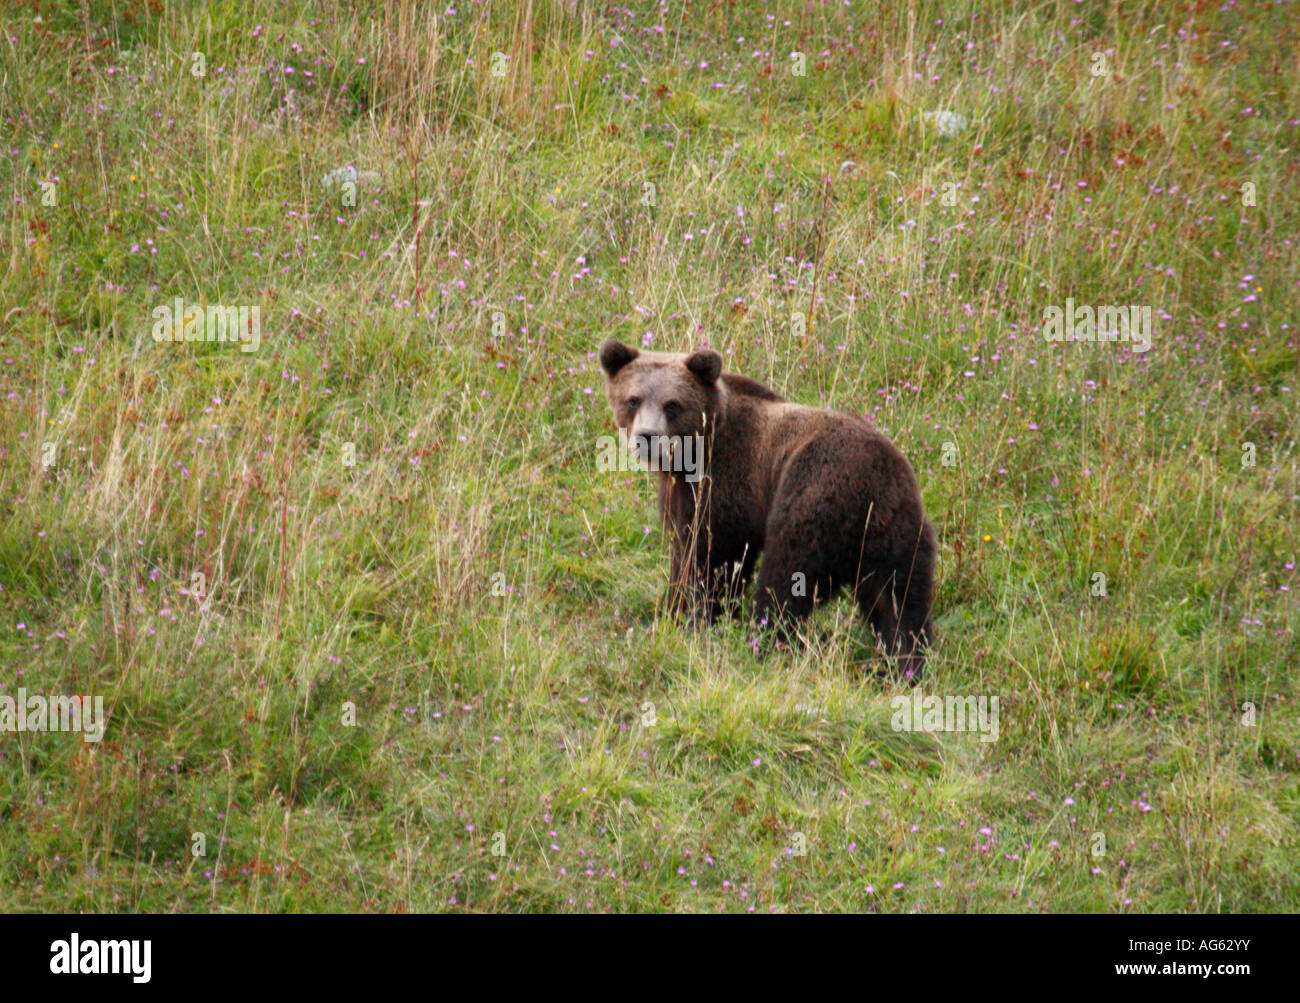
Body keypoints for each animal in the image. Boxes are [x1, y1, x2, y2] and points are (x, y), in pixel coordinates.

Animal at [599, 338, 936, 676]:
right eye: (633, 400)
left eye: (672, 404)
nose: (647, 437)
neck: (690, 456)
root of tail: (873, 486)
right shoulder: (681, 495)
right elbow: (683, 551)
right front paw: (671, 613)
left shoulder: (727, 483)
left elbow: (713, 557)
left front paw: (699, 619)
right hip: (898, 533)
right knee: (900, 600)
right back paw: (906, 666)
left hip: (811, 499)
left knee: (787, 579)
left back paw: (763, 640)